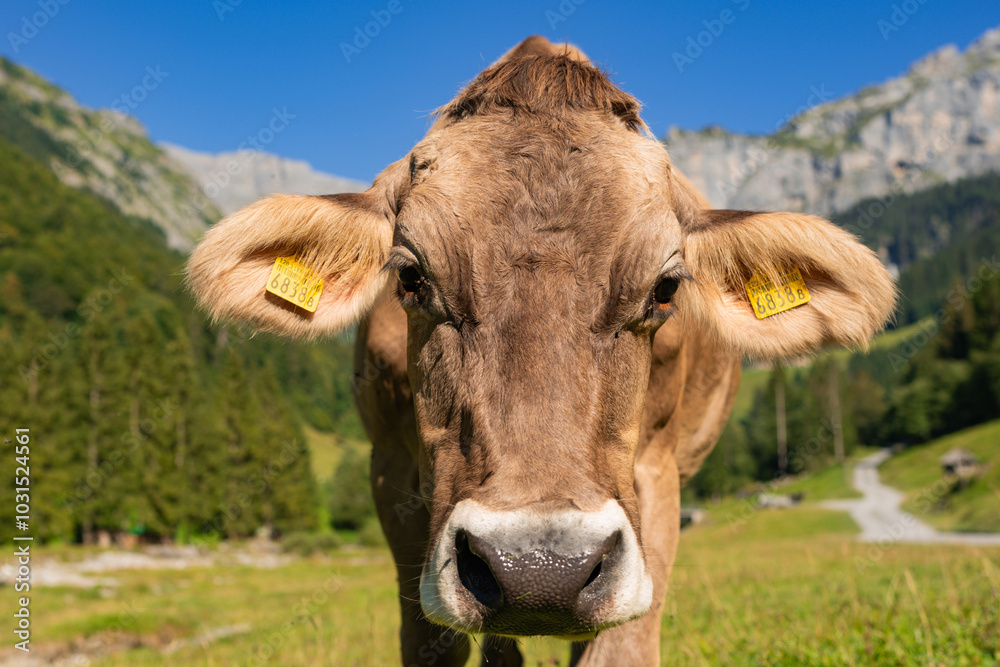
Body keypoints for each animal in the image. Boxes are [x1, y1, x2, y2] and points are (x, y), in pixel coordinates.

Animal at [187, 36, 896, 666]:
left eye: (666, 289)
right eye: (411, 277)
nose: (540, 568)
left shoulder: (655, 477)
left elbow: (621, 648)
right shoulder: (389, 470)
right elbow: (431, 643)